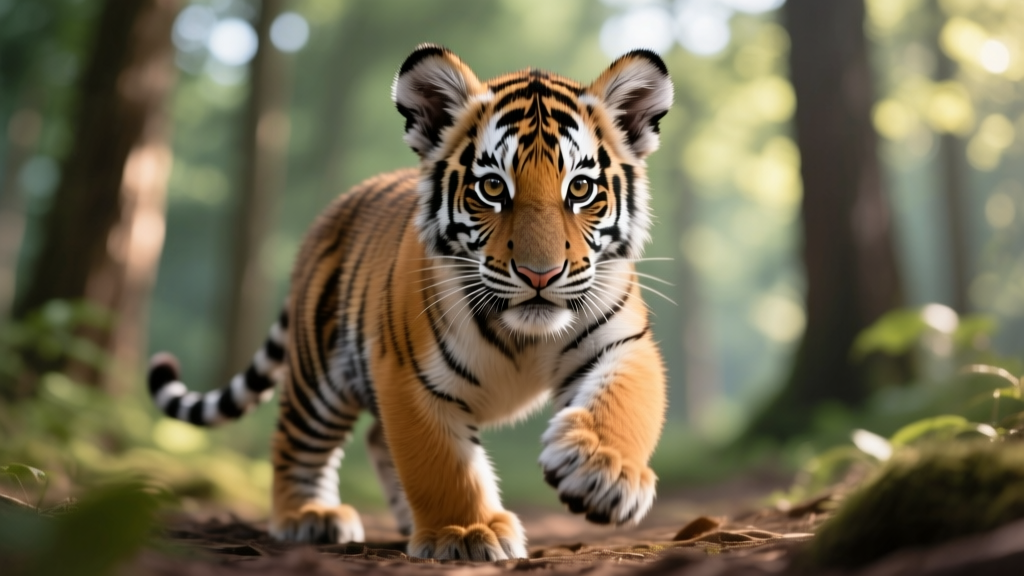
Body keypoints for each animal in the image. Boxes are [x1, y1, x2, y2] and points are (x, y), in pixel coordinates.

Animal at [147, 44, 672, 561]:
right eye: (493, 187)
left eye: (580, 188)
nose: (538, 274)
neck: (523, 332)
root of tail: (332, 212)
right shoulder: (408, 374)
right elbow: (441, 461)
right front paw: (465, 533)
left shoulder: (621, 343)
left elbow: (623, 402)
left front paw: (603, 474)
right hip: (319, 378)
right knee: (298, 441)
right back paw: (309, 516)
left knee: (376, 436)